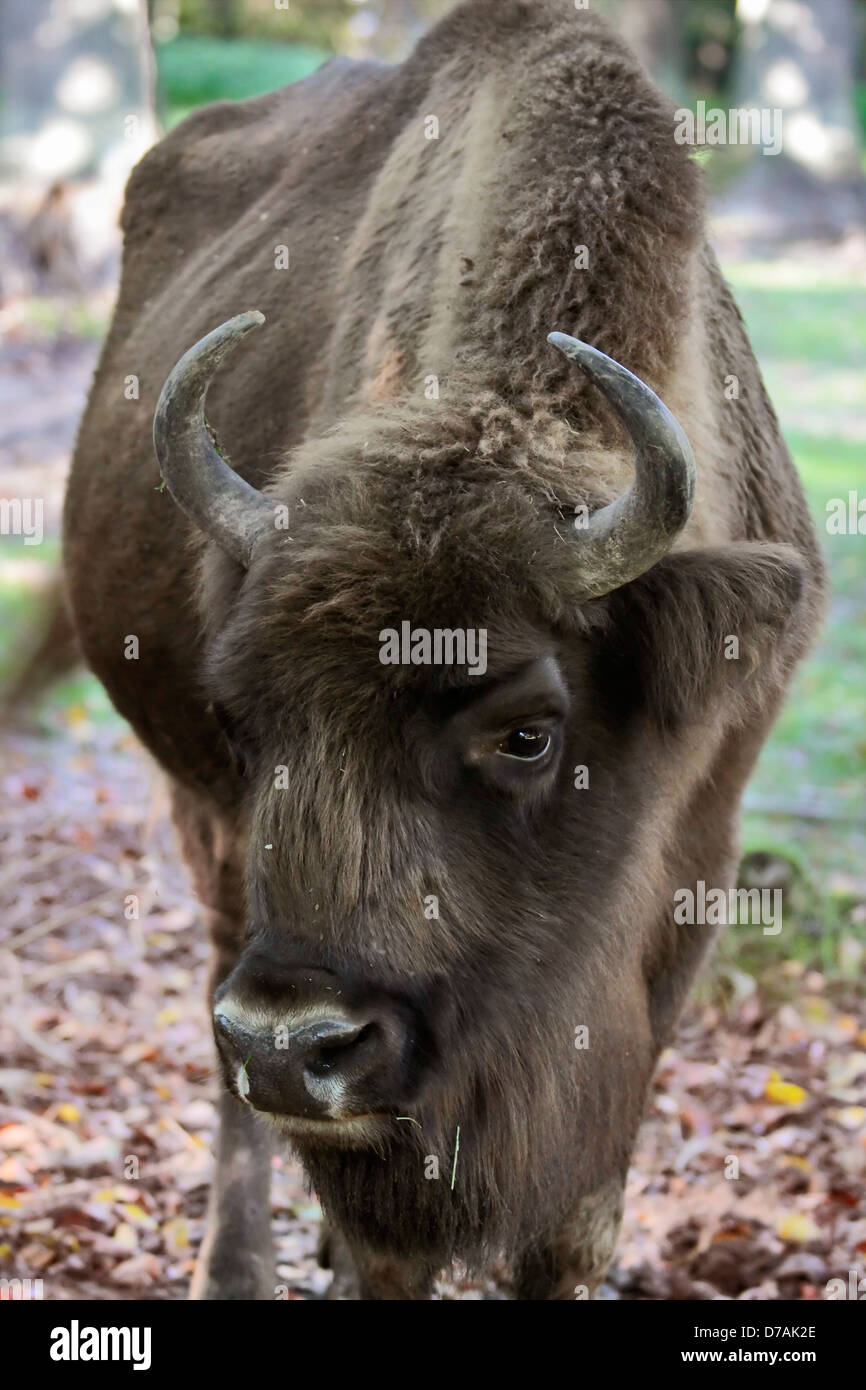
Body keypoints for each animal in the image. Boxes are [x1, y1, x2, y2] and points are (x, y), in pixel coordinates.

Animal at [62, 0, 826, 1299]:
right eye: (246, 717)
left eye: (525, 731)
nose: (290, 1045)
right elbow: (391, 1235)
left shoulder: (687, 883)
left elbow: (572, 1214)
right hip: (208, 848)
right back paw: (237, 1259)